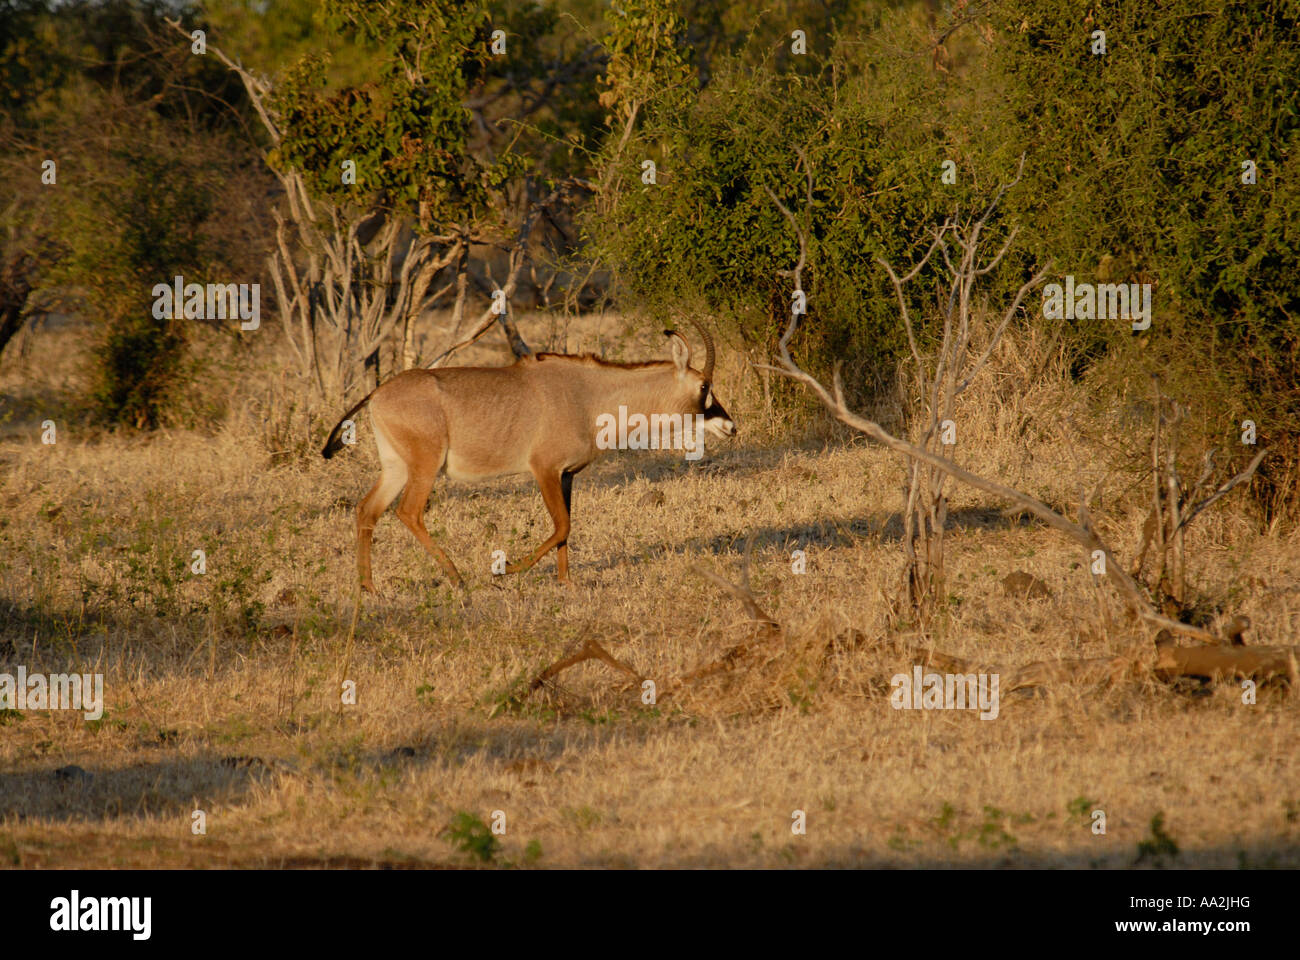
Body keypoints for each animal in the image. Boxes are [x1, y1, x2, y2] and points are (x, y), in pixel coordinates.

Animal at [321, 320, 735, 591]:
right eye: (704, 386)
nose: (730, 427)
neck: (589, 396)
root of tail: (377, 393)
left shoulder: (567, 474)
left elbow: (568, 526)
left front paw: (566, 582)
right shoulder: (544, 469)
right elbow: (562, 526)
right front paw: (506, 568)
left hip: (395, 467)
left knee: (367, 510)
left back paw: (369, 588)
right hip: (424, 465)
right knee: (409, 512)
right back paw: (457, 578)